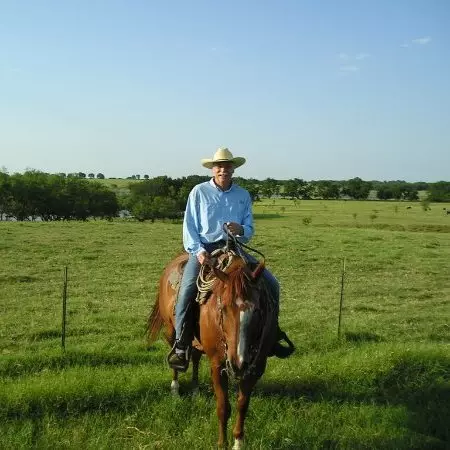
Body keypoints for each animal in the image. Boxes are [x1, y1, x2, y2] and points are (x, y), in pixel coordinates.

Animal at [148, 251, 278, 448]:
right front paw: (222, 444)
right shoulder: (218, 365)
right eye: (222, 308)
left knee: (195, 357)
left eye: (256, 310)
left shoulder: (255, 367)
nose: (238, 363)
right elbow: (223, 406)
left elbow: (242, 405)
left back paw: (195, 389)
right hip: (172, 331)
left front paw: (238, 442)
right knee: (176, 356)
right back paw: (175, 388)